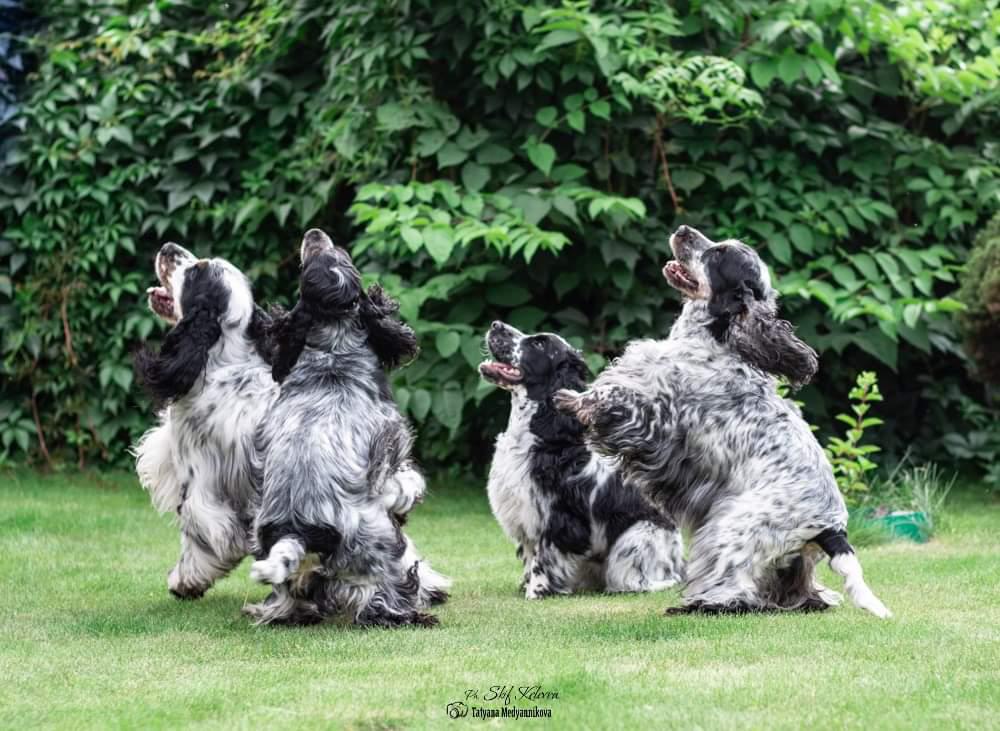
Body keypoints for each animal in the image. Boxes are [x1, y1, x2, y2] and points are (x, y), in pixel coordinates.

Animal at [132, 243, 278, 596]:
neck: (224, 366)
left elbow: (201, 535)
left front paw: (184, 580)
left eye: (195, 271)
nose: (168, 247)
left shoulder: (198, 481)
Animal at [244, 230, 448, 628]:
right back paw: (414, 612)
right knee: (380, 596)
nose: (314, 234)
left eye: (337, 256)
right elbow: (404, 483)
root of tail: (296, 530)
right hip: (377, 546)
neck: (333, 353)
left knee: (286, 597)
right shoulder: (391, 452)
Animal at [478, 324, 684, 596]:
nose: (496, 325)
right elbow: (530, 557)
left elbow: (543, 557)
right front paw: (526, 586)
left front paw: (538, 591)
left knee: (648, 581)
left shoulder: (556, 517)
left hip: (636, 539)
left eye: (539, 344)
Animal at [556, 224, 892, 616]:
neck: (712, 341)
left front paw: (571, 400)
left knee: (733, 588)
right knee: (798, 591)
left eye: (718, 255)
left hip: (729, 528)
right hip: (785, 555)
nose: (683, 229)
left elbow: (608, 398)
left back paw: (698, 604)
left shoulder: (653, 415)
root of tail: (833, 529)